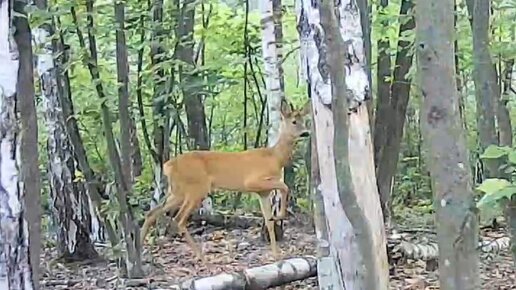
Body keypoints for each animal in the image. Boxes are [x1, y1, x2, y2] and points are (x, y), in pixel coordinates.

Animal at [139, 99, 312, 262]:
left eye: (304, 120)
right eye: (294, 121)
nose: (306, 133)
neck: (275, 158)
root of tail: (168, 166)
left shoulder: (262, 192)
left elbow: (269, 222)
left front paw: (276, 254)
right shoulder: (252, 181)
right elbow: (284, 186)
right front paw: (280, 216)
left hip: (177, 191)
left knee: (152, 212)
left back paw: (142, 248)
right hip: (196, 189)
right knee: (179, 219)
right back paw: (203, 259)